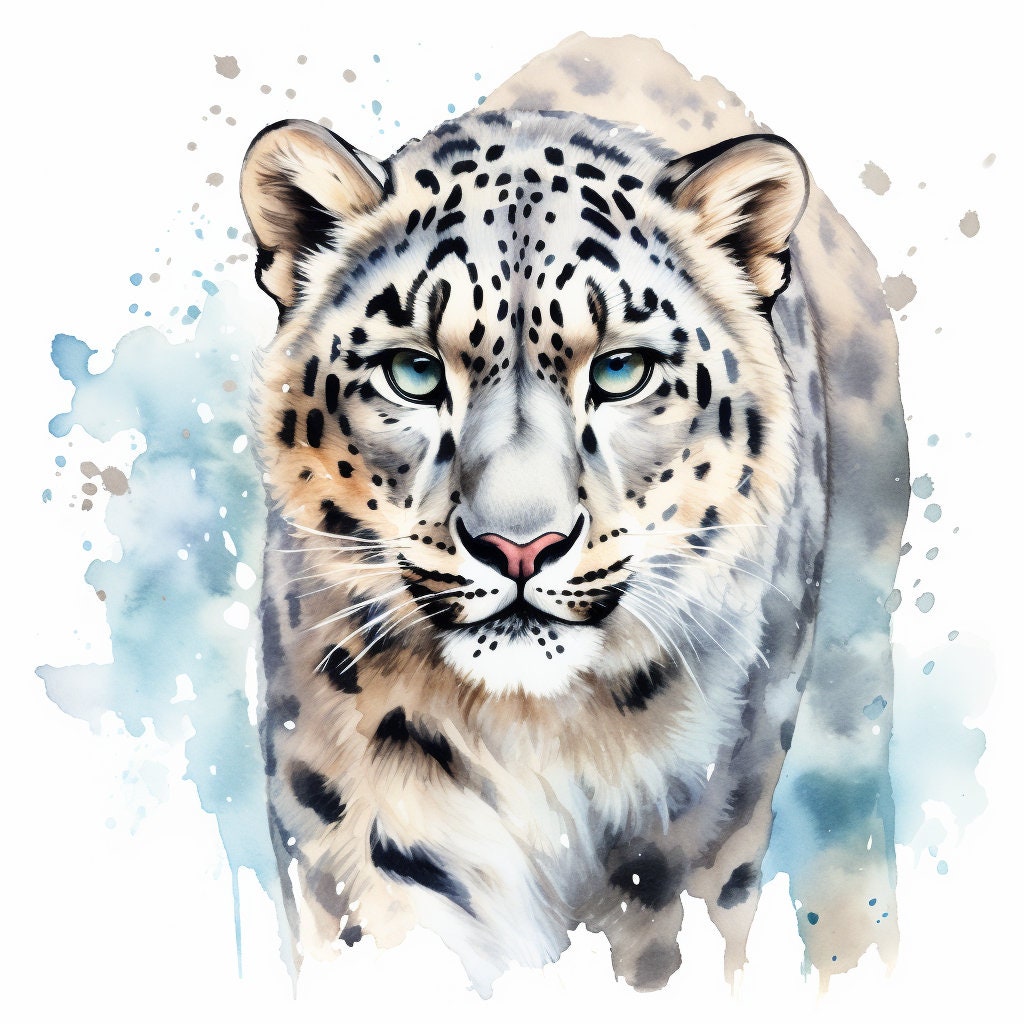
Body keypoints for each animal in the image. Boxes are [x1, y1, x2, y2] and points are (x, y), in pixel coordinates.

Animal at [240, 39, 906, 993]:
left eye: (622, 370)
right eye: (413, 372)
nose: (521, 547)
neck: (534, 738)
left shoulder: (688, 847)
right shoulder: (370, 830)